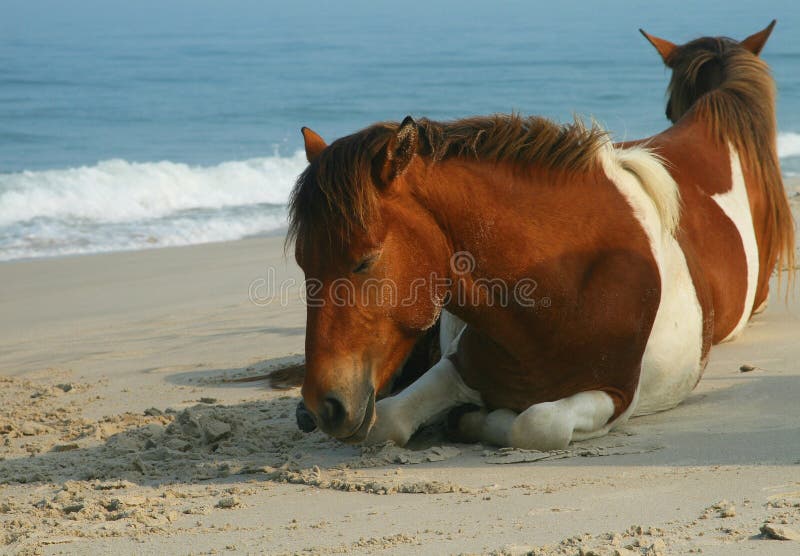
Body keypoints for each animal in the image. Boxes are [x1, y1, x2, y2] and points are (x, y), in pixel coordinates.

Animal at [288, 21, 794, 450]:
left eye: (364, 260)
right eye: (302, 263)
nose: (324, 406)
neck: (562, 289)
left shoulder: (612, 394)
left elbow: (535, 423)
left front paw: (479, 420)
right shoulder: (457, 367)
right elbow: (391, 419)